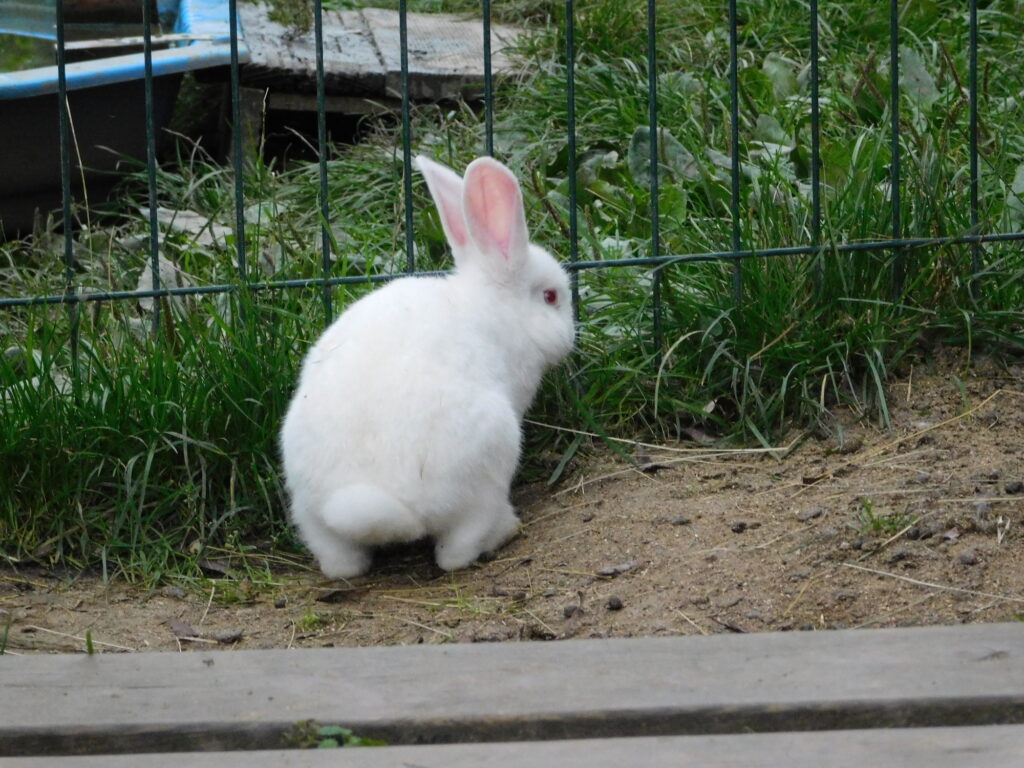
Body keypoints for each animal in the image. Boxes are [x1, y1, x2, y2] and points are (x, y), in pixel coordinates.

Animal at [280, 155, 575, 578]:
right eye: (551, 297)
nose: (570, 337)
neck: (494, 301)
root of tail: (388, 505)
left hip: (311, 514)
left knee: (341, 564)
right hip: (491, 460)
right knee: (456, 552)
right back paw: (505, 529)